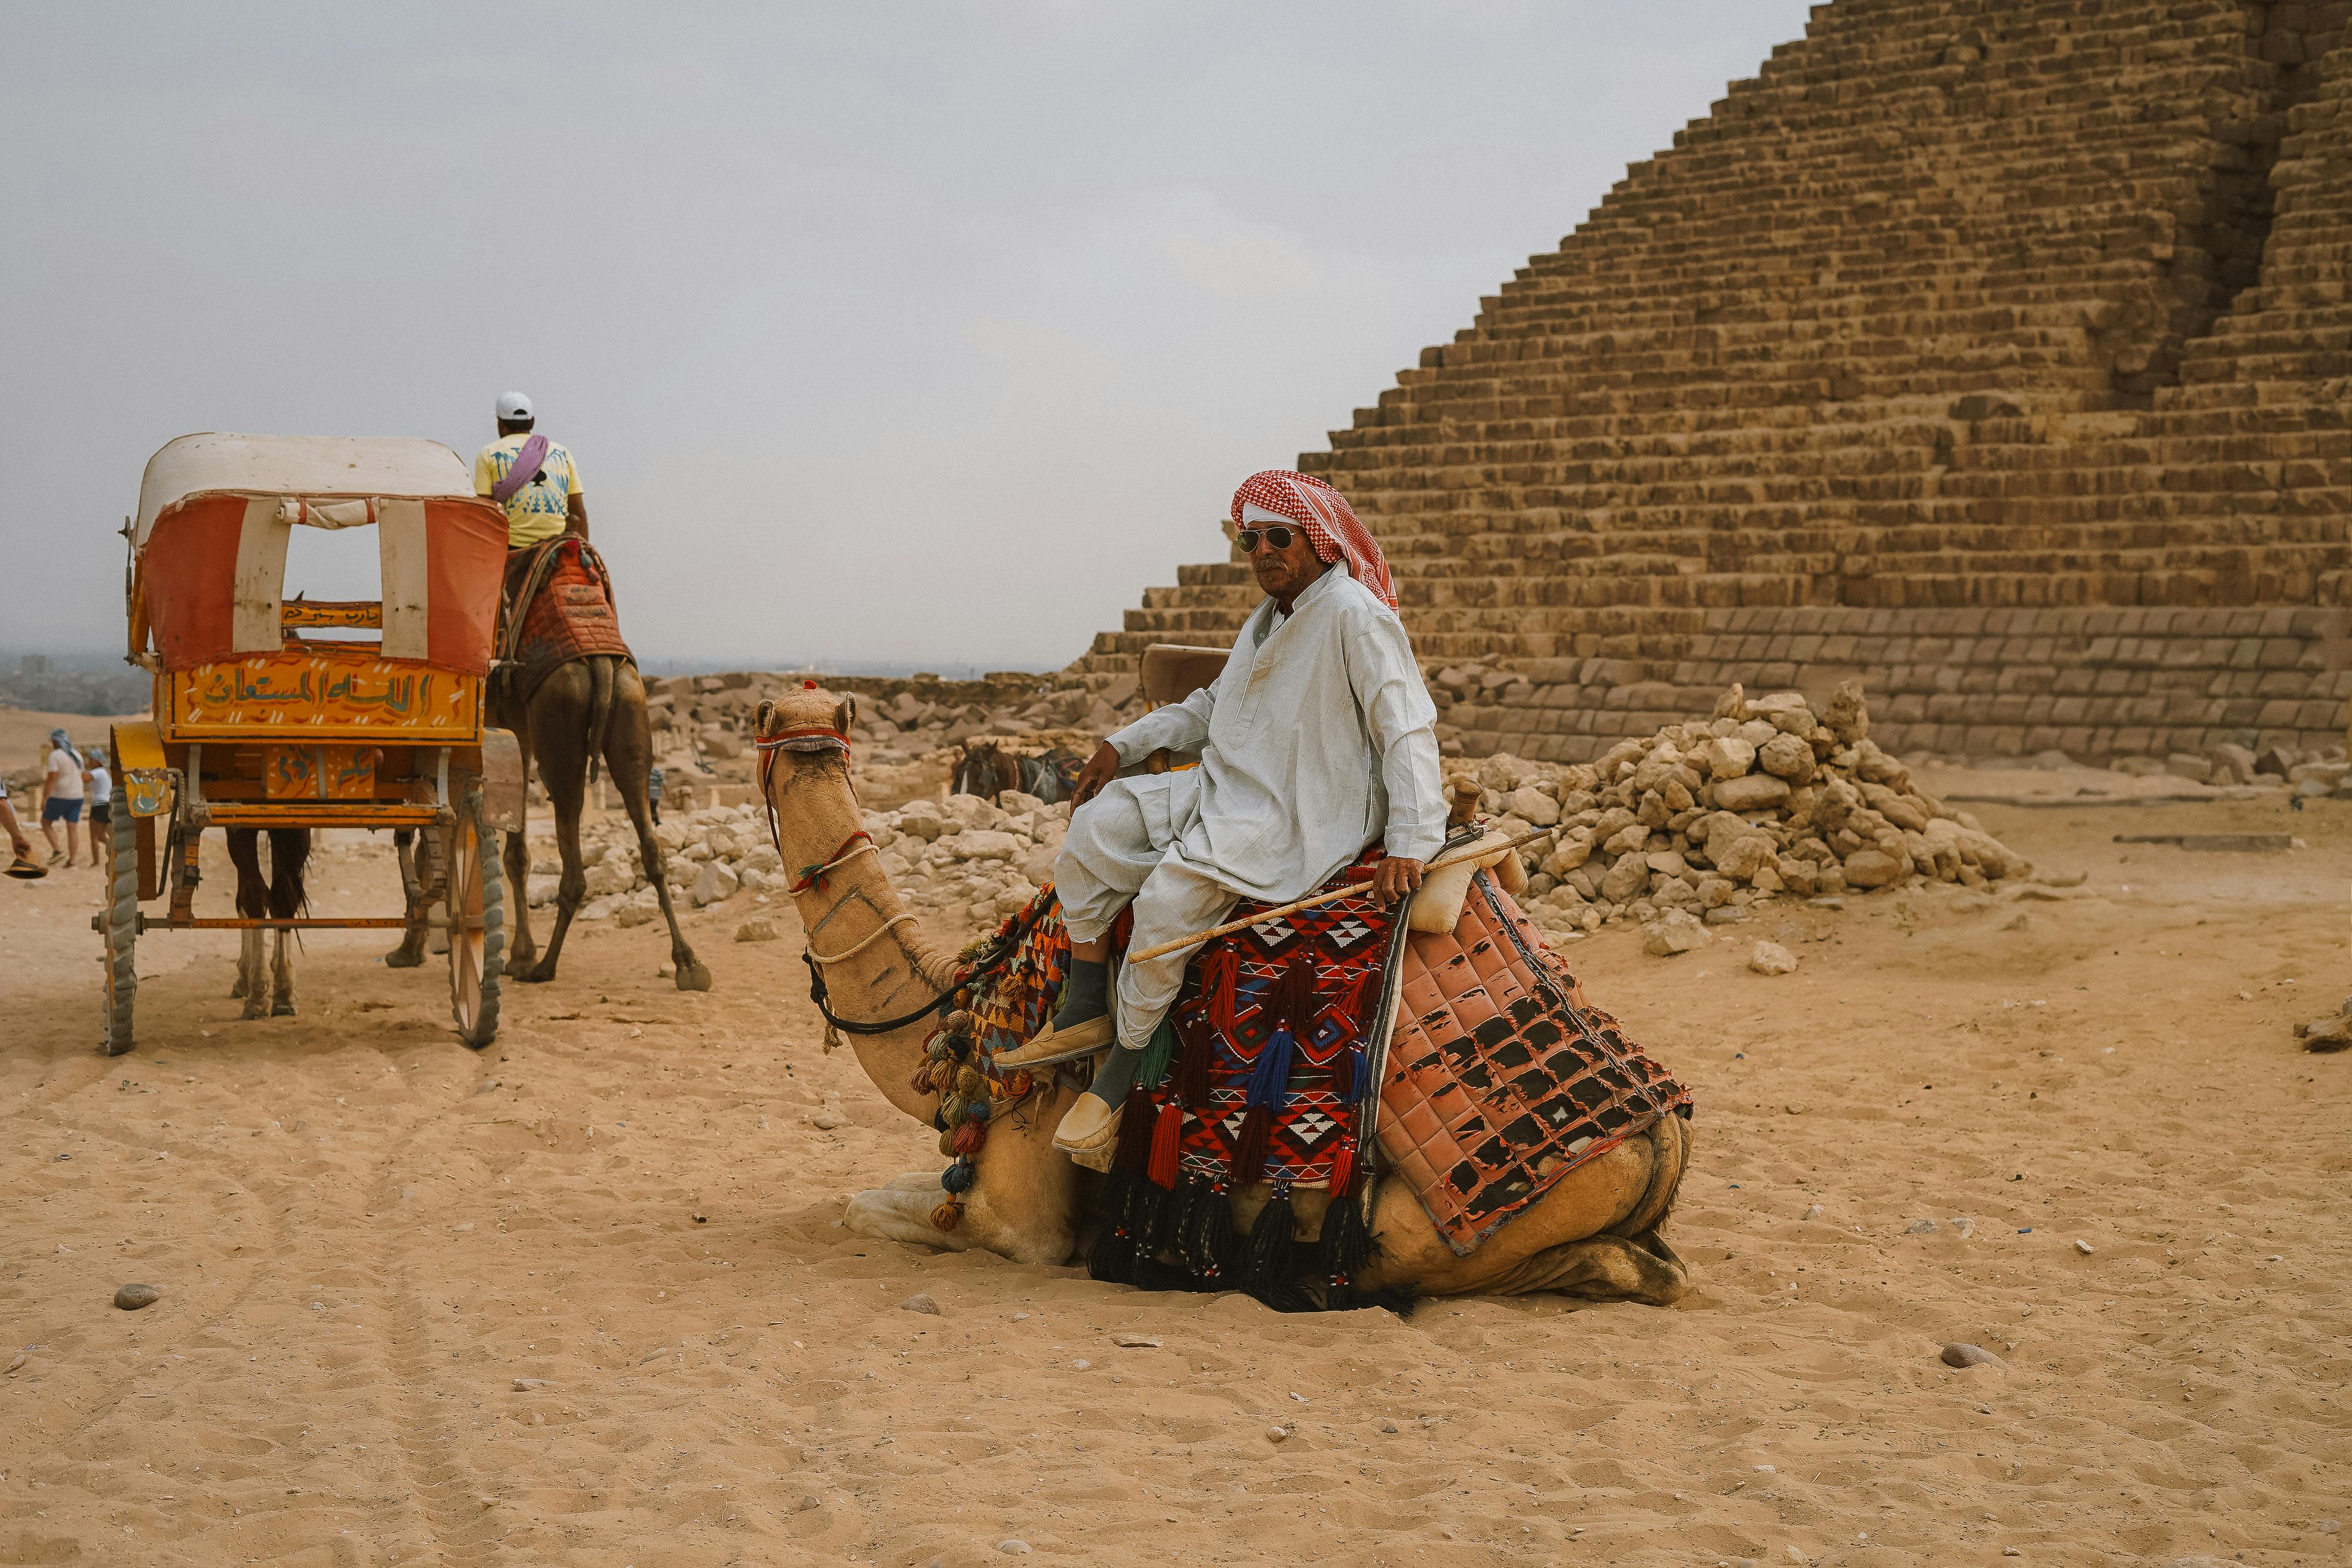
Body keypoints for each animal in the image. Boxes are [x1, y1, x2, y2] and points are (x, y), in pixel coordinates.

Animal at [386, 654, 710, 993]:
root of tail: (602, 665)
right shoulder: (512, 739)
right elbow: (513, 854)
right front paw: (519, 955)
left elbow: (436, 839)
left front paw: (409, 950)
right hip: (631, 708)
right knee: (649, 842)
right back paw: (689, 964)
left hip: (560, 730)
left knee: (574, 862)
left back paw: (544, 967)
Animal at [758, 684, 1691, 1303]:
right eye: (778, 717)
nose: (806, 724)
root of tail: (1664, 1136)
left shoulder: (1019, 1214)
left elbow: (863, 1206)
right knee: (1652, 1265)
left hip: (1442, 1222)